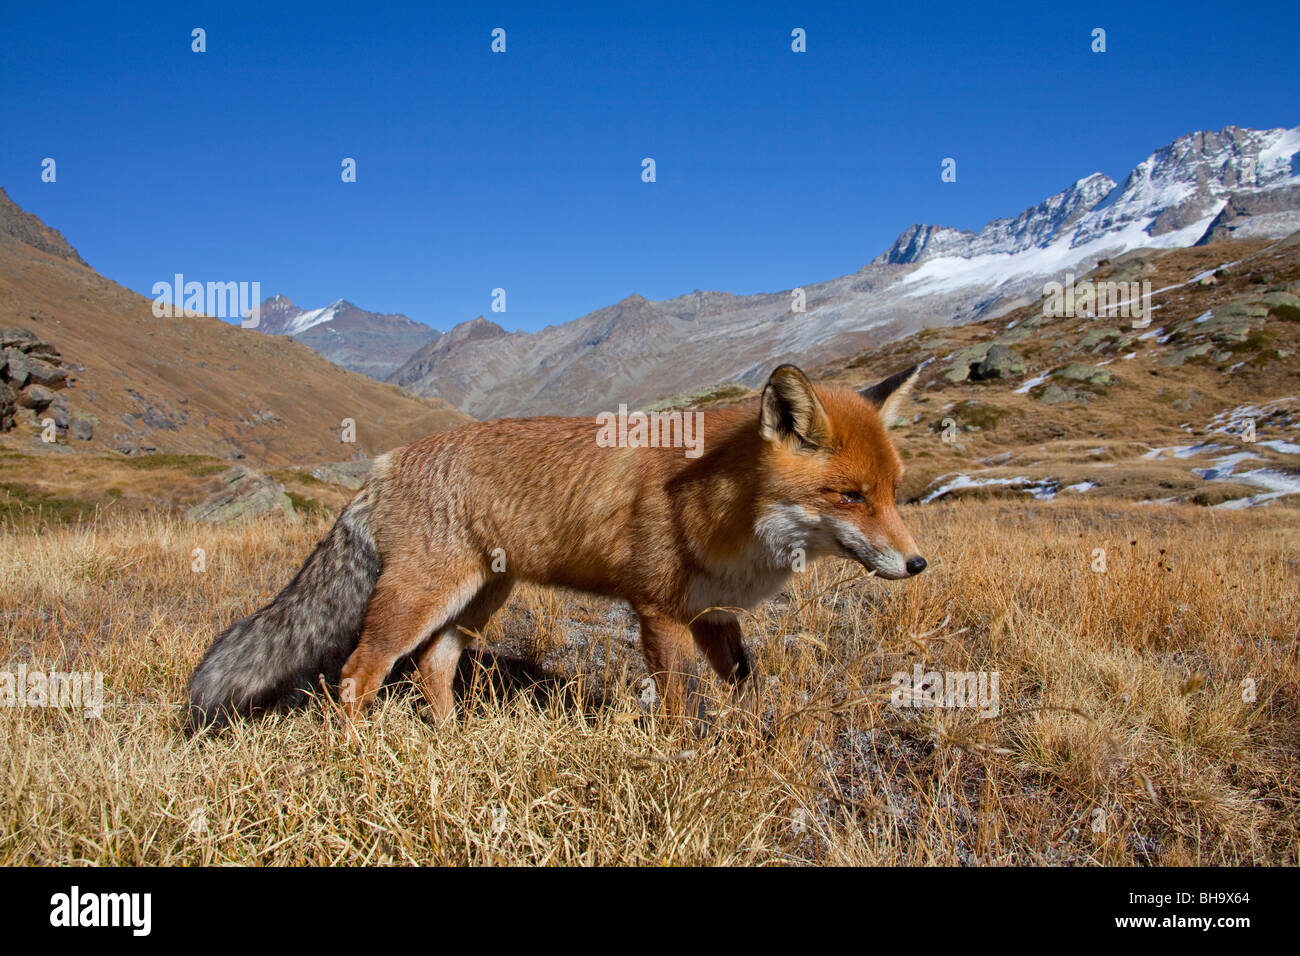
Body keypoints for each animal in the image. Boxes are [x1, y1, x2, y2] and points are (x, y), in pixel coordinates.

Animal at [186, 362, 928, 731]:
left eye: (895, 493)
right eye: (851, 496)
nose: (918, 564)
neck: (725, 503)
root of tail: (383, 464)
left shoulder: (715, 616)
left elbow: (743, 685)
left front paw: (747, 747)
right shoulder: (657, 612)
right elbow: (679, 705)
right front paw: (684, 760)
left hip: (477, 601)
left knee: (430, 667)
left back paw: (452, 747)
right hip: (418, 601)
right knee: (357, 674)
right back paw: (358, 756)